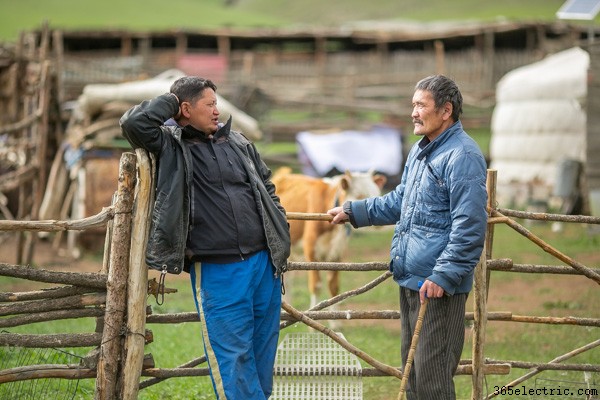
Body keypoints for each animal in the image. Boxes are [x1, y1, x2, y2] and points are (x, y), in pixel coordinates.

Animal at [274, 166, 390, 310]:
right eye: (359, 195)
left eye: (376, 192)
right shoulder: (311, 250)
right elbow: (316, 286)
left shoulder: (337, 253)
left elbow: (334, 287)